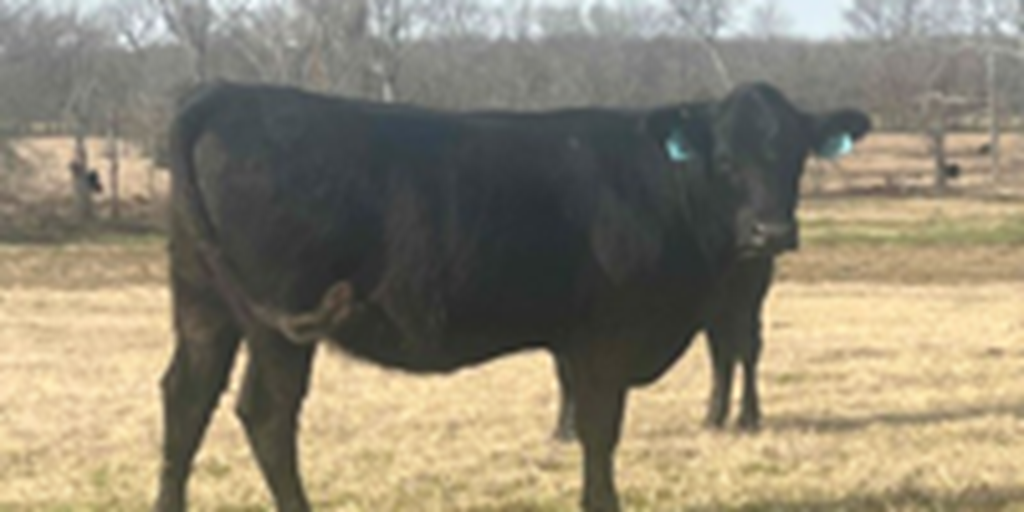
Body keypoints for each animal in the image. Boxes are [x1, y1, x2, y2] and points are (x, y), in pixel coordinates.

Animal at [155, 81, 871, 512]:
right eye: (723, 158)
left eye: (797, 155)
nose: (770, 231)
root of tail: (230, 94)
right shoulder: (605, 336)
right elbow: (599, 431)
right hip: (276, 323)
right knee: (266, 414)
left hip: (205, 305)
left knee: (186, 399)